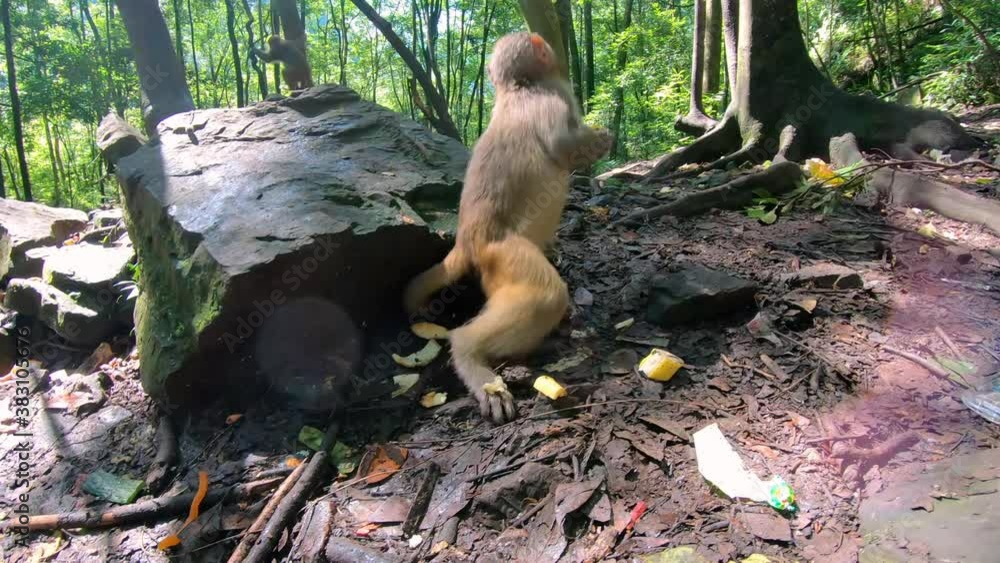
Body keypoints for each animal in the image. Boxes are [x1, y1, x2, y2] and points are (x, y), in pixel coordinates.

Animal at [403, 32, 613, 424]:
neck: (519, 87)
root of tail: (467, 239)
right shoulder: (550, 101)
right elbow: (564, 147)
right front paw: (601, 139)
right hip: (504, 253)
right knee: (544, 295)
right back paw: (476, 363)